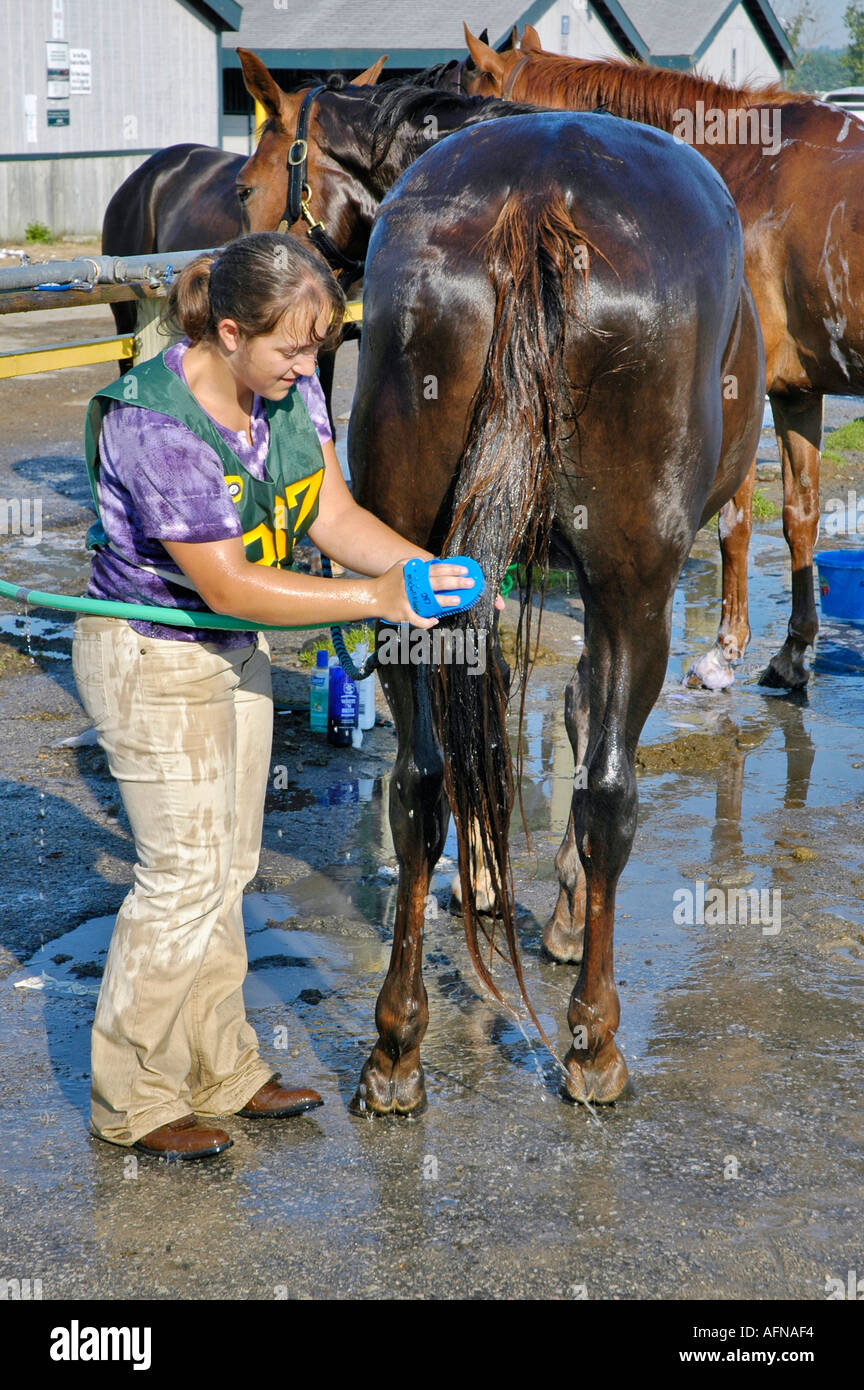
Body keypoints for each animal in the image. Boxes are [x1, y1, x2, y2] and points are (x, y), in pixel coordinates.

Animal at [237, 73, 765, 1107]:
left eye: (246, 183)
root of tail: (535, 204)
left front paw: (485, 880)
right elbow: (578, 720)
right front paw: (555, 907)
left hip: (412, 573)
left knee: (419, 783)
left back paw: (397, 1047)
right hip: (635, 590)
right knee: (607, 792)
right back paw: (594, 1046)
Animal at [460, 24, 864, 700]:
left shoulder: (738, 394)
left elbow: (735, 526)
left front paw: (724, 654)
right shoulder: (798, 392)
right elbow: (798, 520)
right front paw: (792, 655)